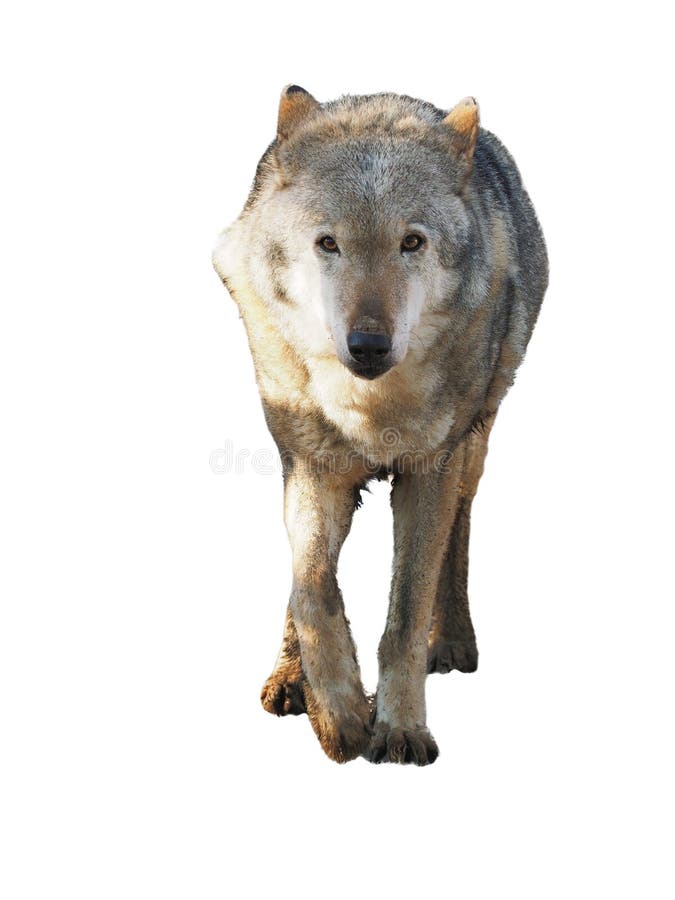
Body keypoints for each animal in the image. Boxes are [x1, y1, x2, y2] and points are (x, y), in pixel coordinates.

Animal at [213, 87, 548, 765]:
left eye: (411, 243)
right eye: (328, 243)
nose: (368, 344)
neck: (369, 407)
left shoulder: (429, 472)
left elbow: (406, 616)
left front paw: (400, 728)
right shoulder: (309, 465)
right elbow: (313, 588)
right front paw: (339, 714)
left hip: (474, 445)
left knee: (459, 531)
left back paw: (453, 640)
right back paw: (289, 679)